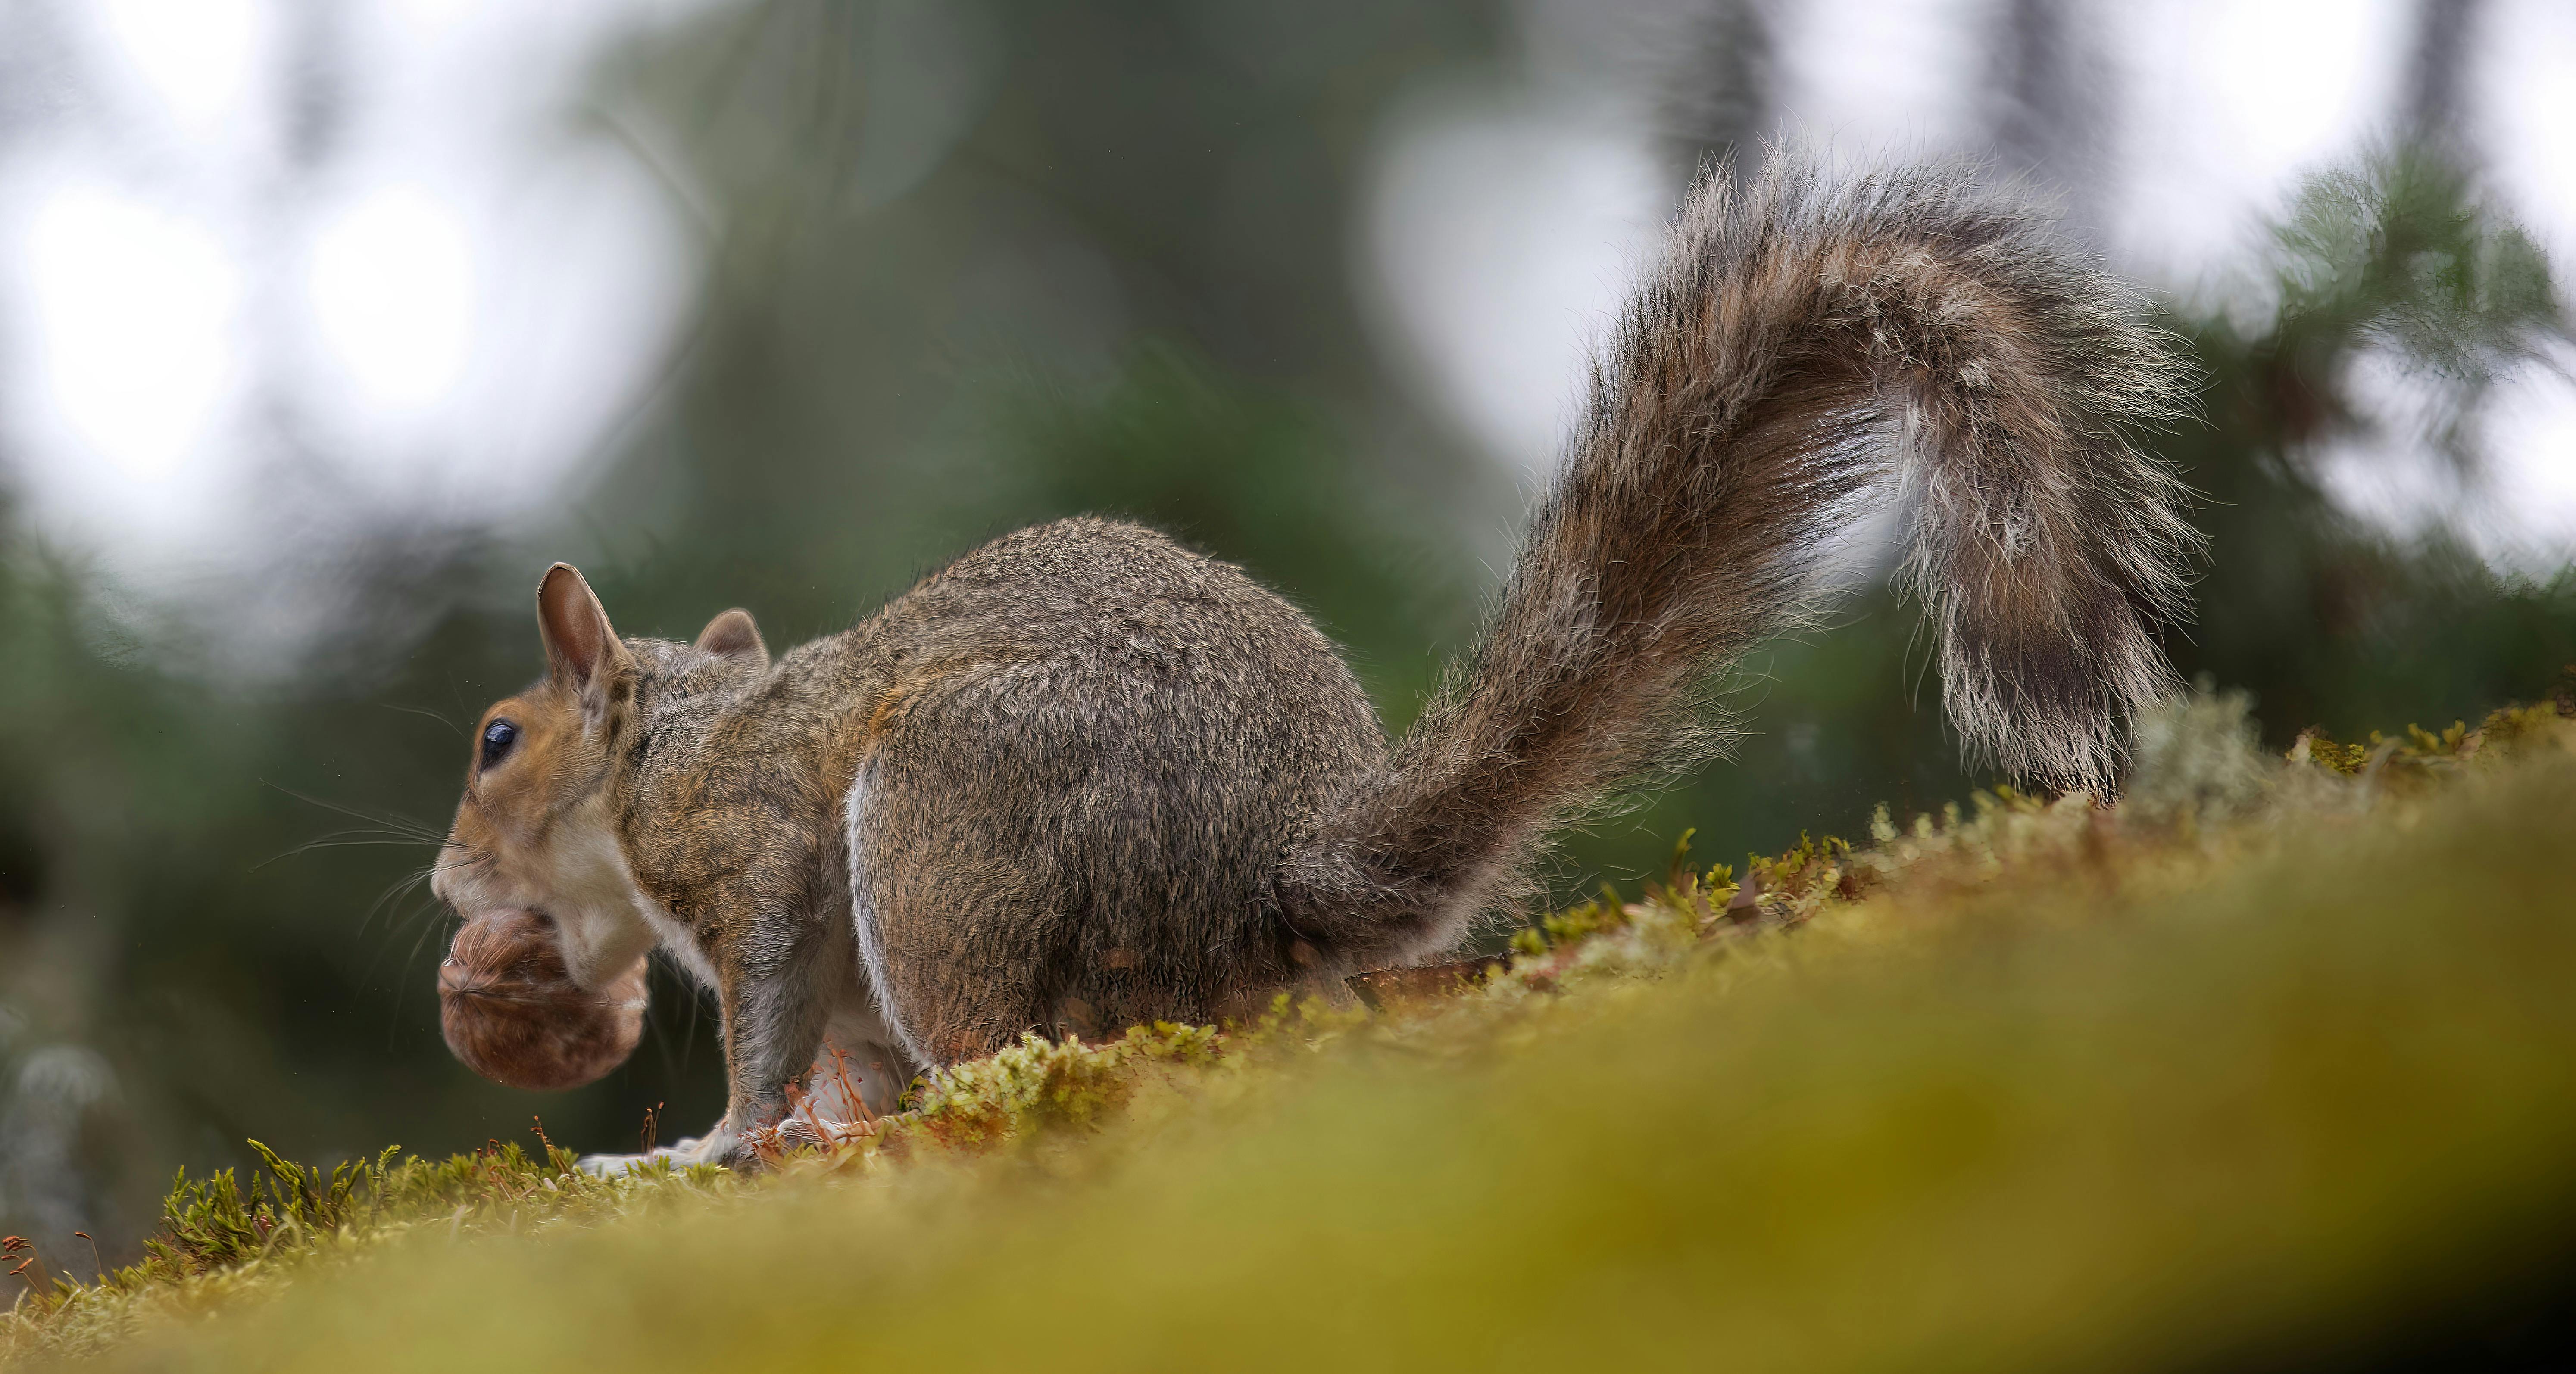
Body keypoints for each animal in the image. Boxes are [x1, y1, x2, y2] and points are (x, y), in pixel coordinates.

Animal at [430, 155, 2197, 1171]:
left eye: (496, 741)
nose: (446, 883)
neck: (667, 742)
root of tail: (1262, 871)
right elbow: (838, 1055)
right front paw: (801, 1123)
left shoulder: (759, 859)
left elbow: (772, 1007)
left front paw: (715, 1139)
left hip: (948, 820)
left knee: (1026, 1038)